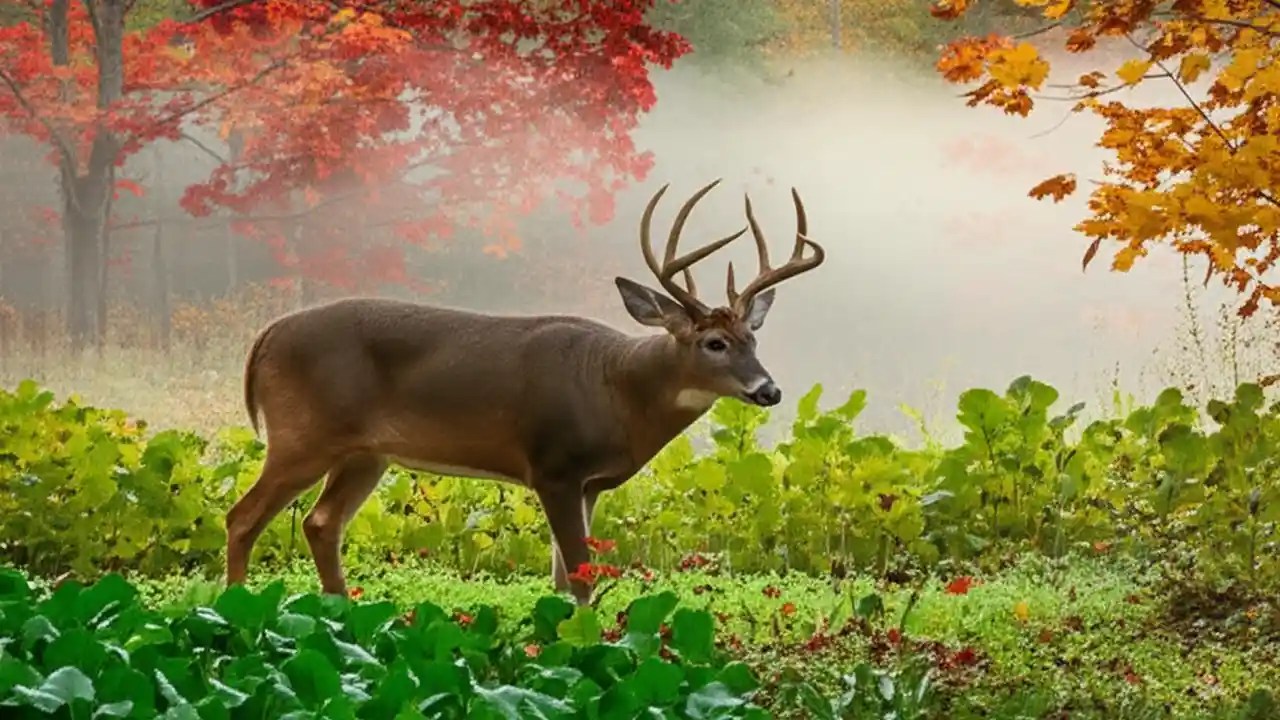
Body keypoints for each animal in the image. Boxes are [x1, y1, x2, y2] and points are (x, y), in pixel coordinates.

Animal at [225, 179, 826, 604]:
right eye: (714, 342)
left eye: (753, 337)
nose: (769, 390)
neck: (619, 388)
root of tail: (264, 337)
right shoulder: (553, 466)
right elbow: (580, 578)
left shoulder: (590, 484)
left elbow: (565, 579)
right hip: (302, 435)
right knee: (243, 517)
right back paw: (235, 613)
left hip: (365, 454)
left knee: (320, 523)